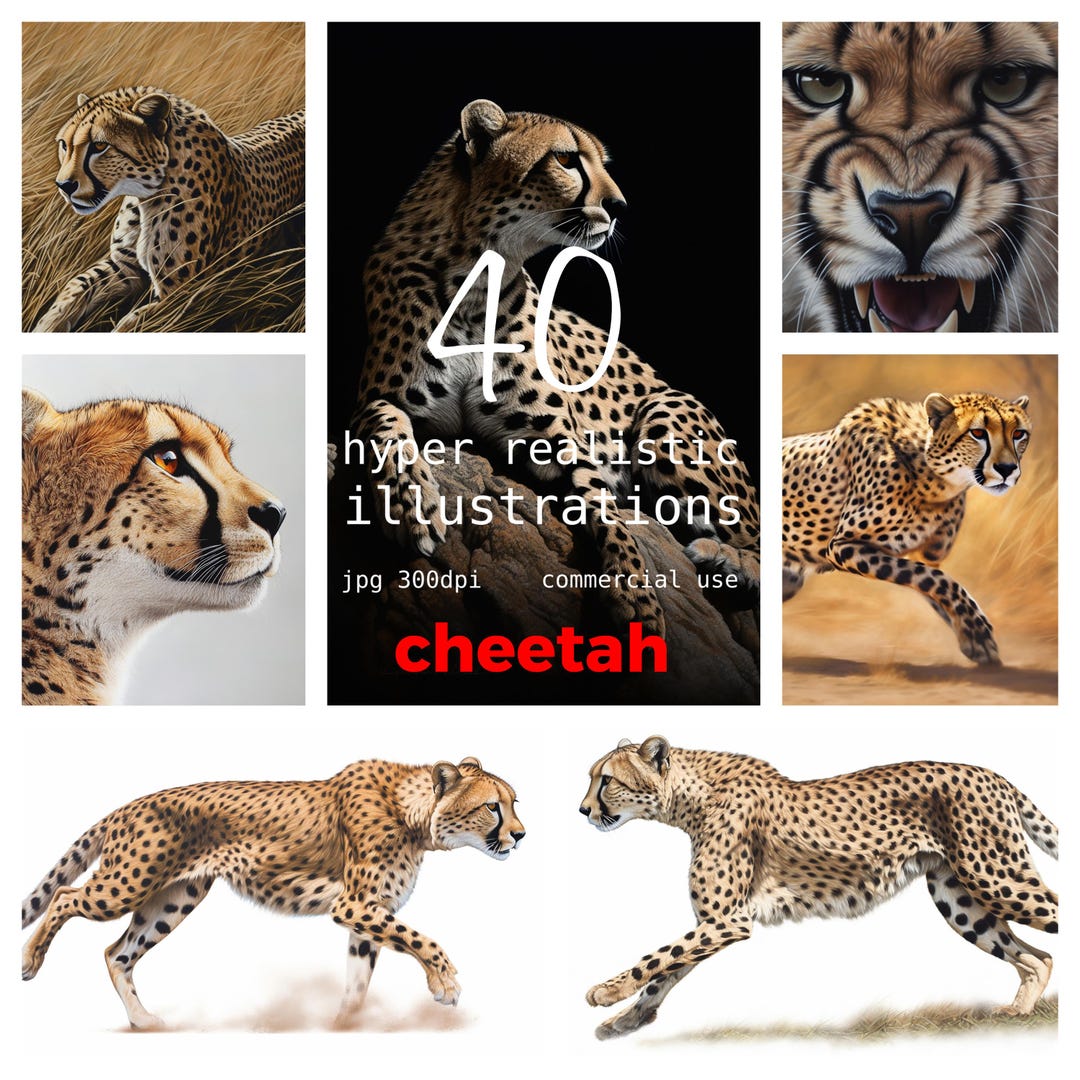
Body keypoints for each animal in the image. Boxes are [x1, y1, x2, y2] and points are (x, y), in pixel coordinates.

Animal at [22, 756, 524, 1029]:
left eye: (514, 802)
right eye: (492, 807)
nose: (520, 835)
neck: (413, 814)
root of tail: (129, 804)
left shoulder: (368, 913)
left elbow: (358, 982)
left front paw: (347, 1026)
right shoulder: (353, 905)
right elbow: (422, 940)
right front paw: (446, 982)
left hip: (175, 897)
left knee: (117, 952)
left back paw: (143, 1021)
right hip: (126, 885)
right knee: (65, 896)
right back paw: (30, 959)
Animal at [31, 86, 305, 333]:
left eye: (99, 146)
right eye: (64, 145)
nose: (64, 186)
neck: (145, 194)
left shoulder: (180, 294)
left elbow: (129, 326)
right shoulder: (126, 267)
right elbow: (77, 284)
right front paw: (47, 326)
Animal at [350, 99, 760, 637]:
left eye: (603, 163)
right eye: (566, 159)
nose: (620, 206)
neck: (476, 280)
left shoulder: (565, 444)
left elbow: (608, 514)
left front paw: (636, 597)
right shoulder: (379, 401)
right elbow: (388, 430)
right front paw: (410, 503)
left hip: (666, 406)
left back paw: (725, 558)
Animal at [579, 736, 1058, 1039]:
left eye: (607, 780)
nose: (583, 810)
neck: (690, 796)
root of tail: (991, 773)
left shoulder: (729, 920)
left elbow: (658, 957)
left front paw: (605, 992)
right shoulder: (716, 923)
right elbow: (667, 970)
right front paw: (624, 1022)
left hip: (995, 877)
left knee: (1051, 920)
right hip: (960, 898)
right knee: (1039, 958)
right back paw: (1019, 1012)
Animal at [782, 391, 1031, 665]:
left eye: (1018, 434)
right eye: (977, 433)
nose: (1007, 469)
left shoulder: (925, 556)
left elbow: (935, 585)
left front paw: (976, 640)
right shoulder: (842, 546)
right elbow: (940, 581)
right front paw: (977, 631)